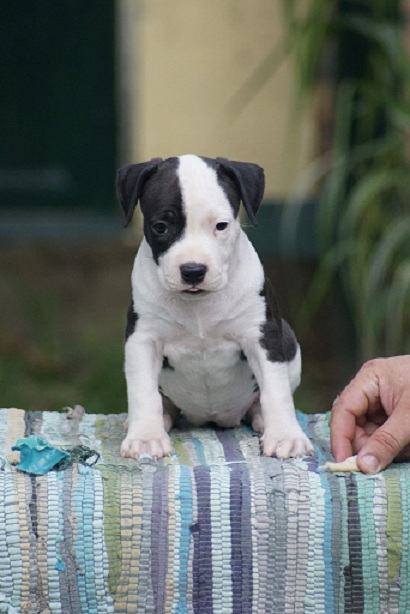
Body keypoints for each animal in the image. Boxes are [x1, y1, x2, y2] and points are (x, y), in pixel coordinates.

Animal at [116, 154, 314, 462]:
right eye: (161, 227)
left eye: (221, 225)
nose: (193, 271)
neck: (198, 306)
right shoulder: (142, 339)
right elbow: (143, 392)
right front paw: (146, 438)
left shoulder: (263, 337)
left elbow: (276, 390)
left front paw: (285, 436)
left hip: (289, 341)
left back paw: (261, 417)